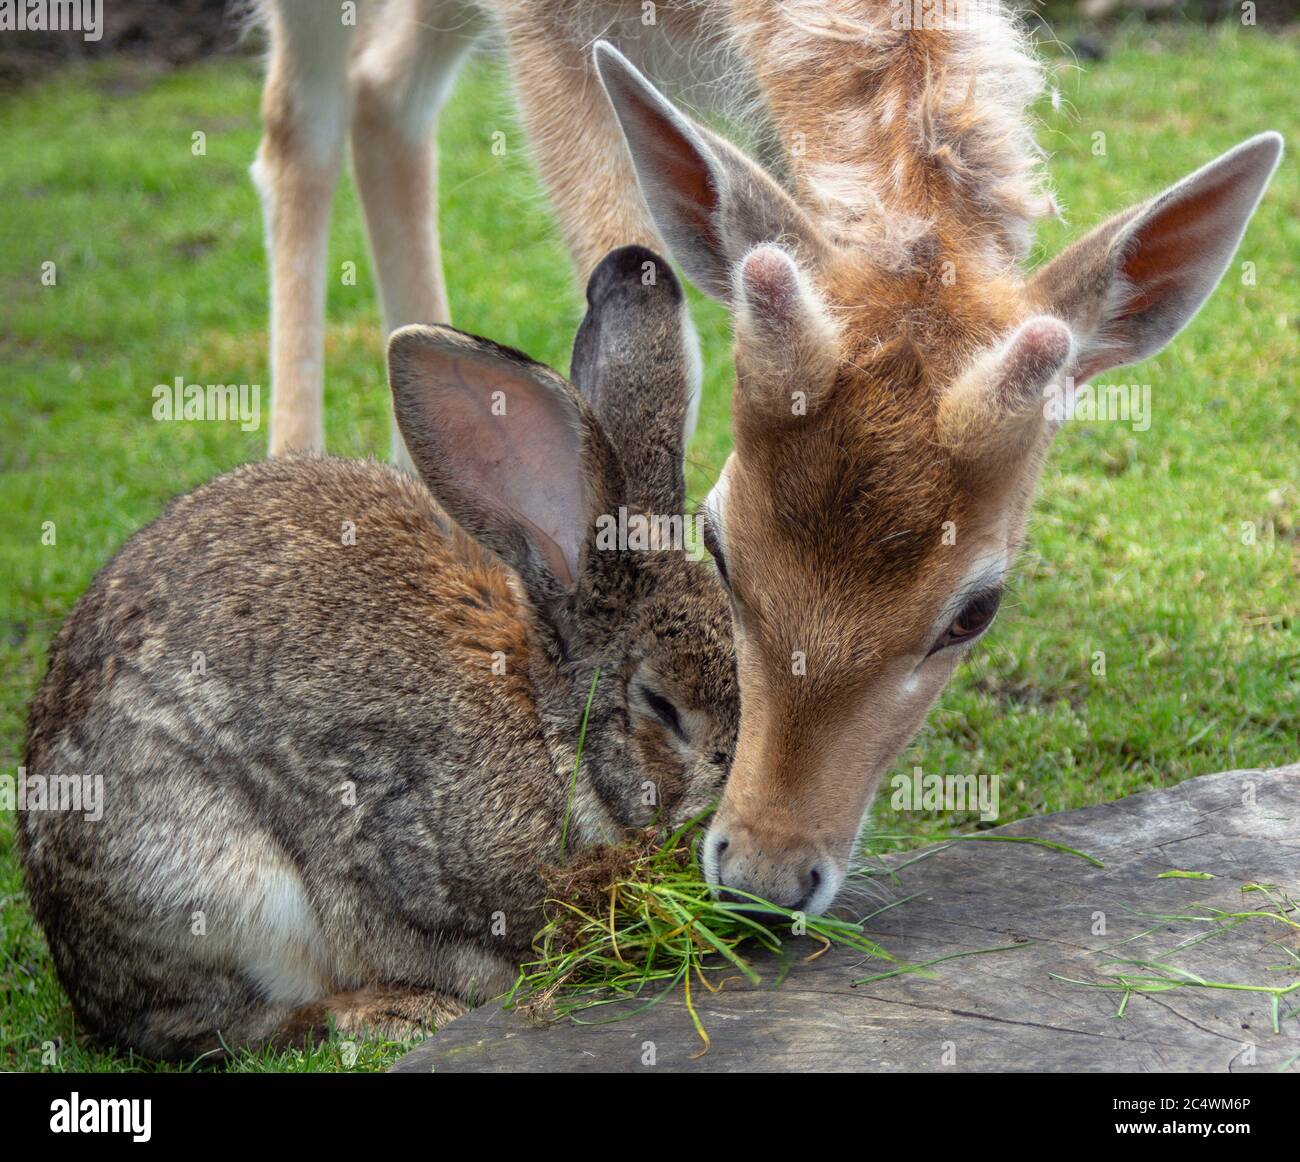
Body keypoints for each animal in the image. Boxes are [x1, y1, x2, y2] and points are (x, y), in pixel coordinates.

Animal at [252, 1, 1282, 916]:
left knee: (385, 89)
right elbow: (631, 259)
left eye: (975, 611)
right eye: (719, 547)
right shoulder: (539, 24)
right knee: (300, 122)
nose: (763, 876)